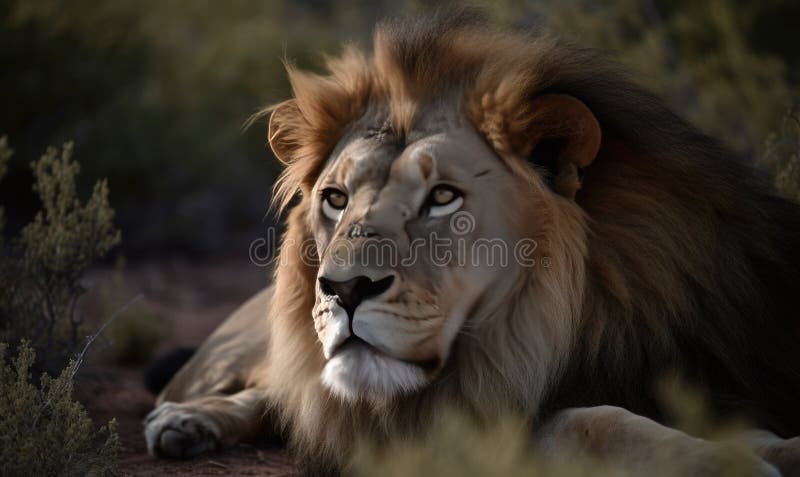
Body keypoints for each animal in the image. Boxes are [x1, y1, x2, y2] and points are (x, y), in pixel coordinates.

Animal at [144, 10, 800, 476]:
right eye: (335, 198)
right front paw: (727, 465)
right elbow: (593, 423)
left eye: (442, 197)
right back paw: (184, 420)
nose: (342, 290)